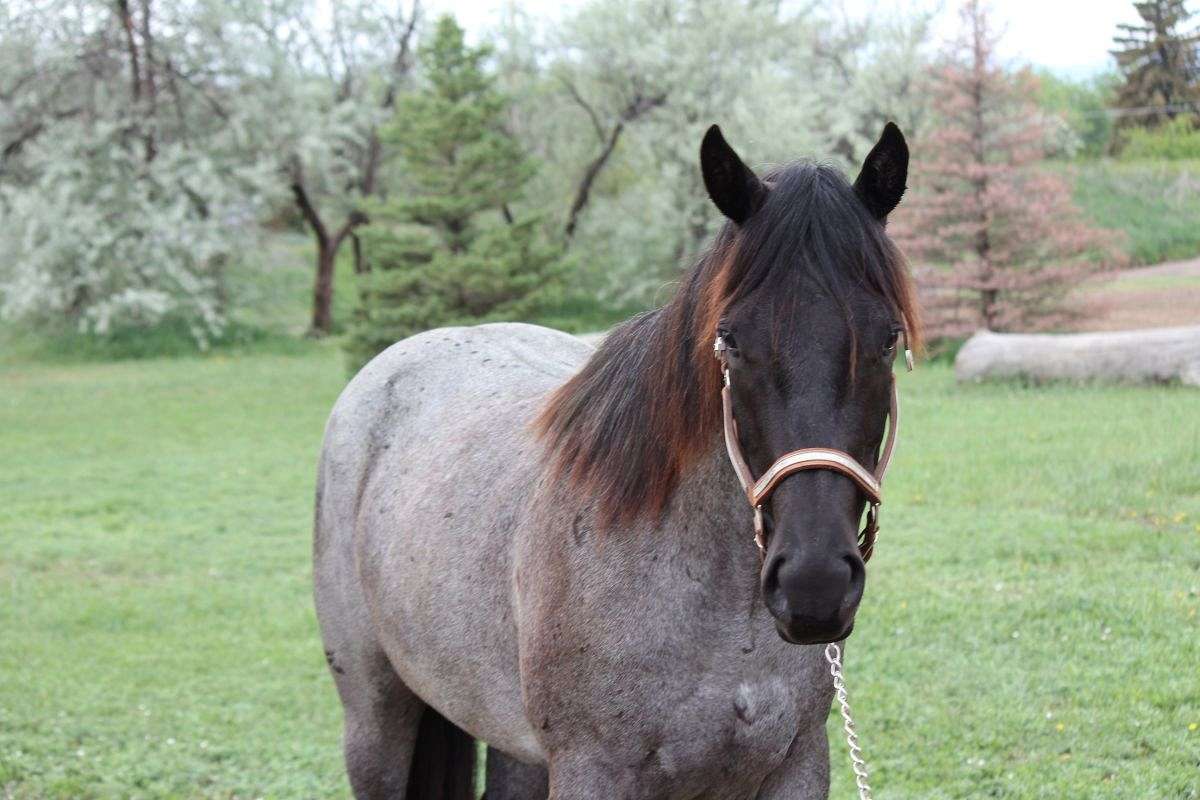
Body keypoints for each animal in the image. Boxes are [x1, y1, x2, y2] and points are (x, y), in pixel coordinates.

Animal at [313, 121, 921, 800]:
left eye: (888, 339)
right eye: (730, 339)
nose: (814, 584)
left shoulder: (797, 765)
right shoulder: (591, 771)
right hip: (376, 721)